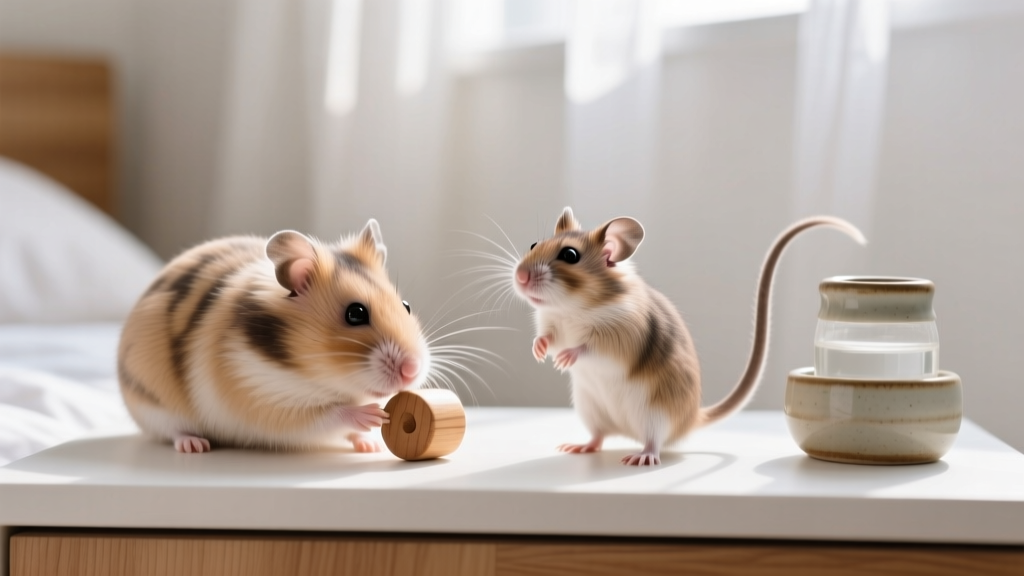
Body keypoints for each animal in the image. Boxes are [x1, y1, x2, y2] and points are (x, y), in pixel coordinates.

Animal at [117, 219, 430, 454]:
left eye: (406, 306)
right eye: (355, 314)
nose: (412, 370)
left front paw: (371, 442)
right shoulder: (260, 400)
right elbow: (326, 415)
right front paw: (373, 415)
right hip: (151, 403)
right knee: (172, 430)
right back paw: (194, 445)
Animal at [513, 207, 864, 465]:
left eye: (570, 255)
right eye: (533, 245)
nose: (519, 277)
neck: (573, 308)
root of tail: (692, 418)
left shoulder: (620, 337)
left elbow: (588, 347)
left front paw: (565, 359)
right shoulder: (551, 323)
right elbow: (547, 337)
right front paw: (539, 352)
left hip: (655, 413)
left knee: (654, 440)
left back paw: (642, 457)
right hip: (590, 409)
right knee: (598, 437)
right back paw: (579, 447)